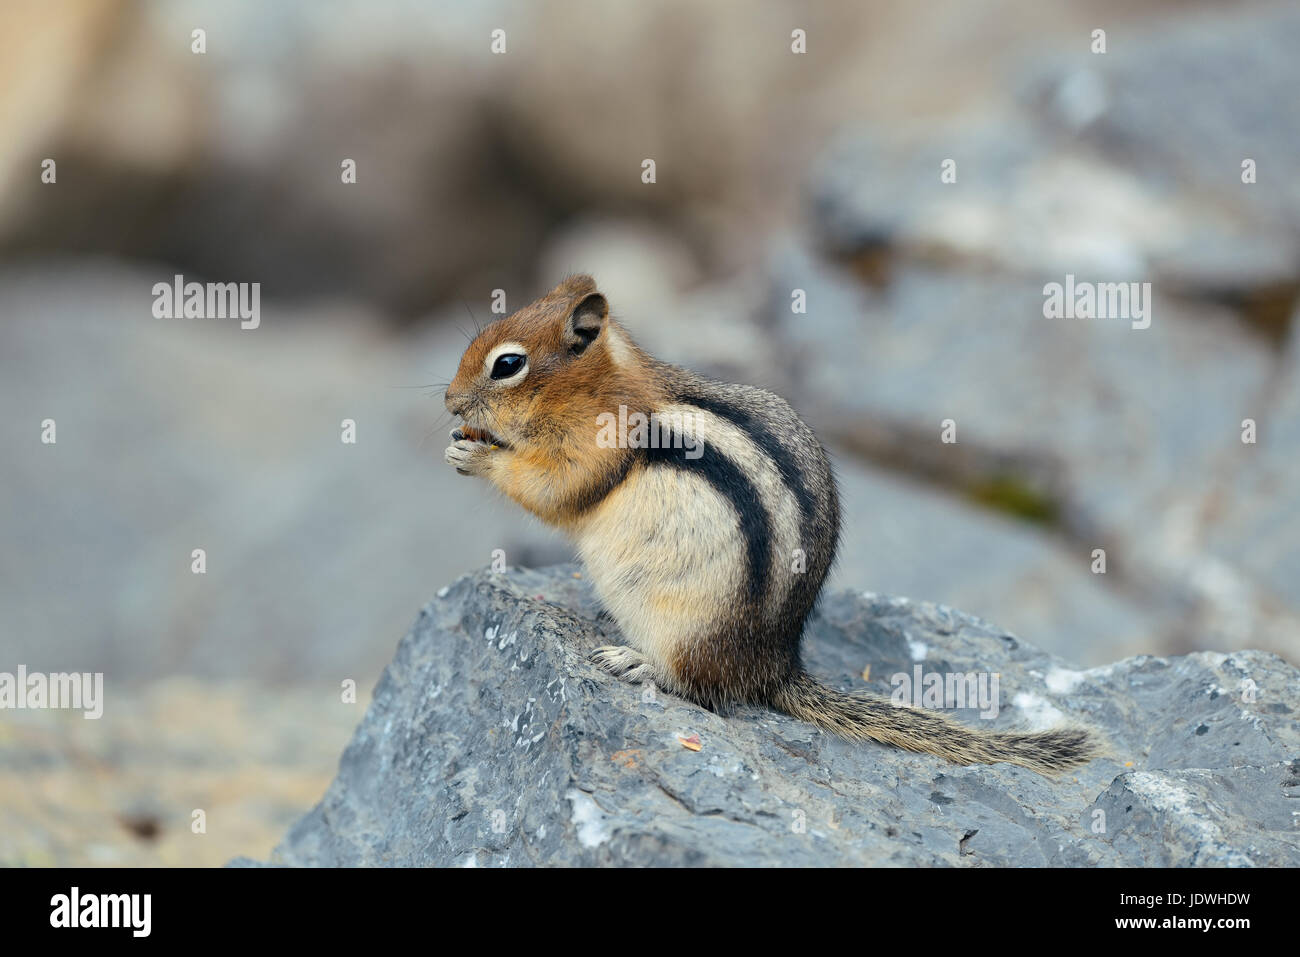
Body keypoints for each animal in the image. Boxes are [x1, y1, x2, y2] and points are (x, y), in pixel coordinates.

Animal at [444, 275, 1100, 775]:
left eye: (508, 364)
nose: (449, 403)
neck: (597, 386)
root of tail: (773, 666)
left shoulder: (592, 448)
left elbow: (555, 491)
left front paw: (478, 457)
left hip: (687, 629)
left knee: (697, 686)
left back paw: (637, 662)